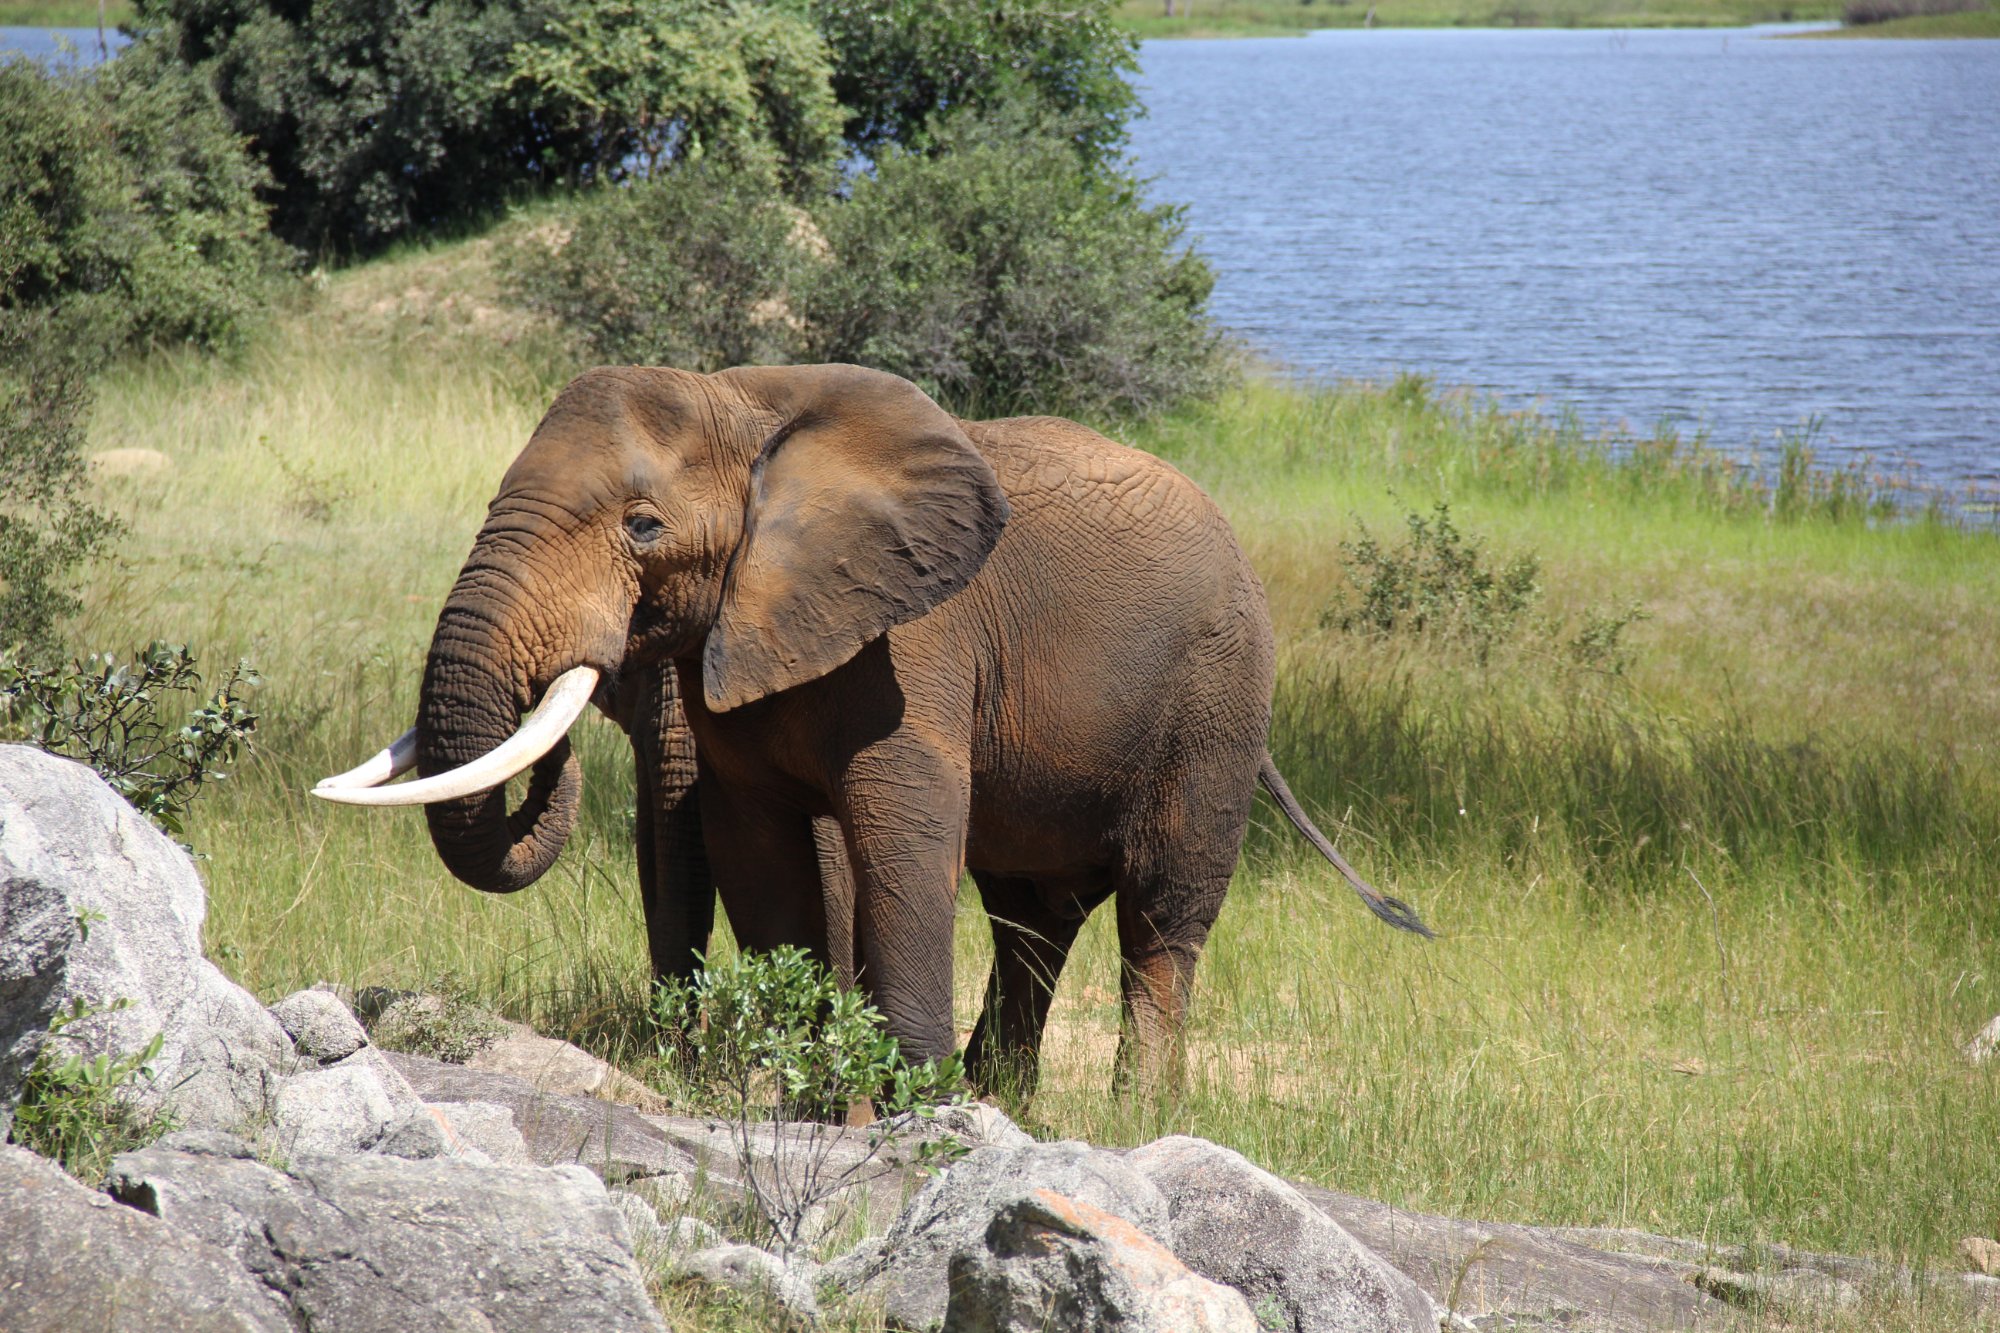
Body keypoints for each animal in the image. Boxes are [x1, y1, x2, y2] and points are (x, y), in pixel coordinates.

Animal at [316, 363, 1430, 1095]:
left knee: (1160, 915)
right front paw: (807, 1094)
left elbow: (901, 830)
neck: (748, 404)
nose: (554, 749)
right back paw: (996, 1098)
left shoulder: (918, 639)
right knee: (1033, 915)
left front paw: (899, 1103)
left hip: (1216, 700)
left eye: (642, 526)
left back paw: (1126, 1119)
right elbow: (758, 850)